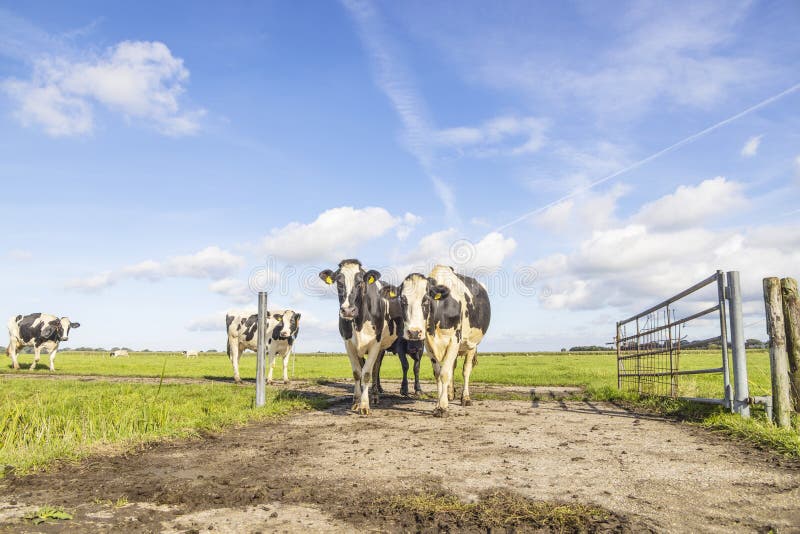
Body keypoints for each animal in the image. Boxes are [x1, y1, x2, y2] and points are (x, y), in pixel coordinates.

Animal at [319, 259, 401, 414]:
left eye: (360, 283)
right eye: (339, 283)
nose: (348, 310)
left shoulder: (375, 343)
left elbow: (367, 373)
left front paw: (364, 405)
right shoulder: (348, 343)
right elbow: (357, 373)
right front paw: (356, 401)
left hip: (381, 346)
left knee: (375, 369)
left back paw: (375, 395)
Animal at [381, 265, 490, 416]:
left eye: (426, 300)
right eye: (402, 300)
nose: (414, 332)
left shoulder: (454, 340)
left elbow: (445, 374)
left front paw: (442, 407)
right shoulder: (428, 345)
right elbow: (438, 374)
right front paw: (440, 402)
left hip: (472, 344)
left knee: (466, 370)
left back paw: (465, 398)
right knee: (452, 367)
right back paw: (450, 394)